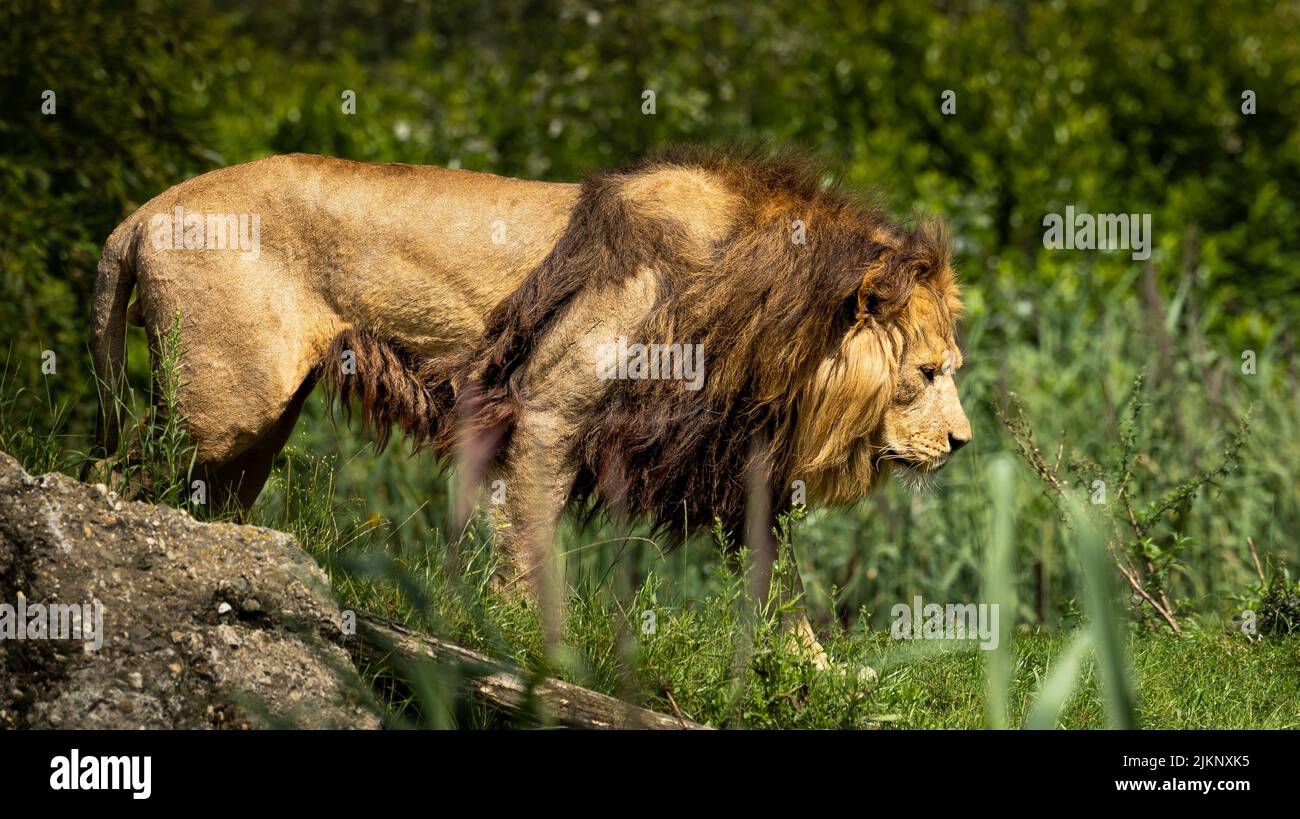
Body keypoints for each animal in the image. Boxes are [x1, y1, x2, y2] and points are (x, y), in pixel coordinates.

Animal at [93, 146, 970, 666]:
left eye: (950, 369)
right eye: (927, 373)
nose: (962, 443)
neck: (766, 321)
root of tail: (139, 214)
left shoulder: (727, 459)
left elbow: (780, 580)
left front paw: (821, 672)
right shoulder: (547, 411)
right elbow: (531, 549)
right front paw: (540, 652)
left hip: (254, 431)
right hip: (223, 410)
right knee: (116, 475)